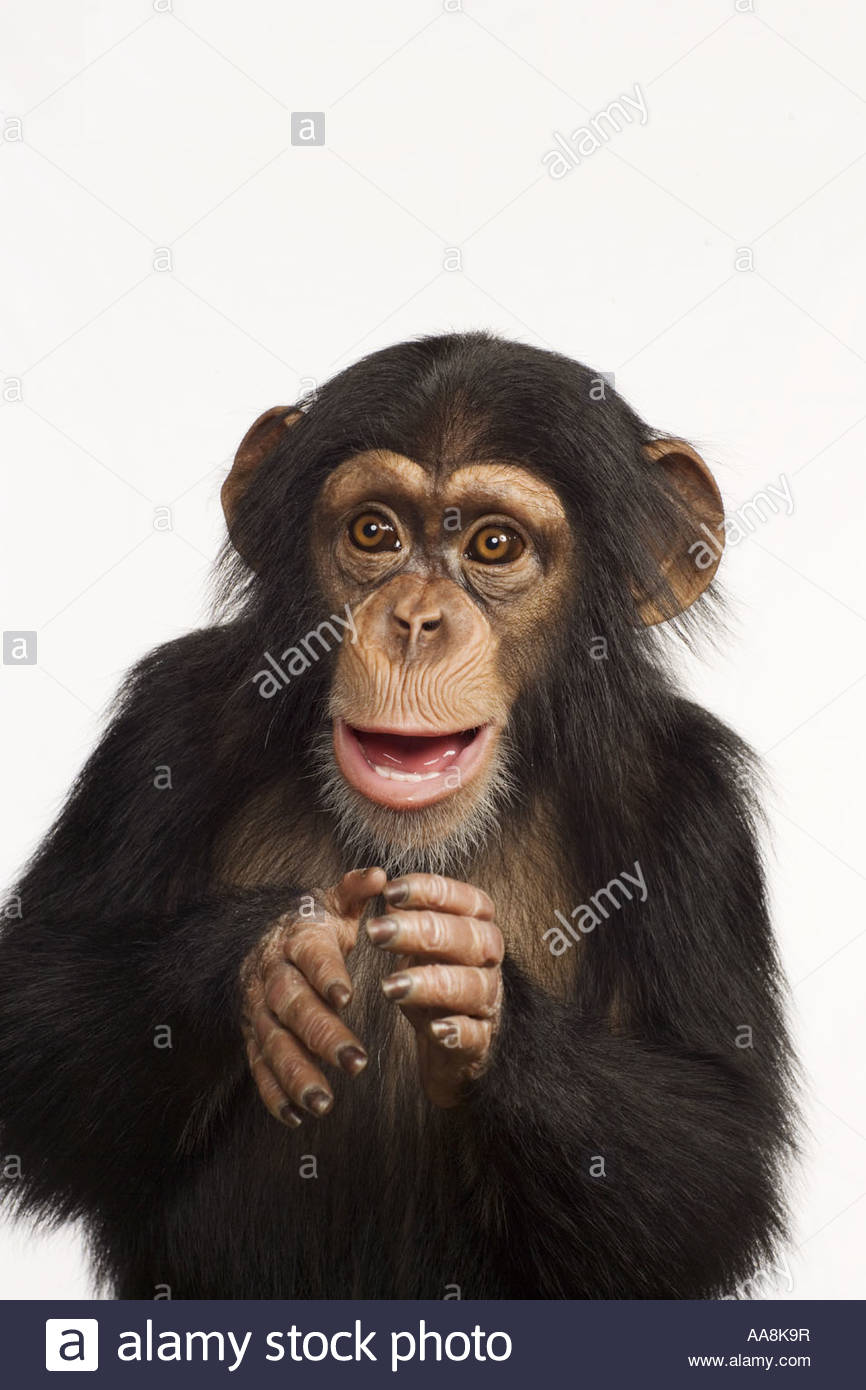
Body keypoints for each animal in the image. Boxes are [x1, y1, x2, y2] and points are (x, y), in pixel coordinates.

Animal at [0, 331, 795, 1298]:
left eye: (494, 544)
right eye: (375, 532)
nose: (415, 618)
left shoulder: (690, 808)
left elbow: (718, 1151)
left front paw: (477, 997)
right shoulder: (166, 726)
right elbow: (31, 999)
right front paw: (270, 956)